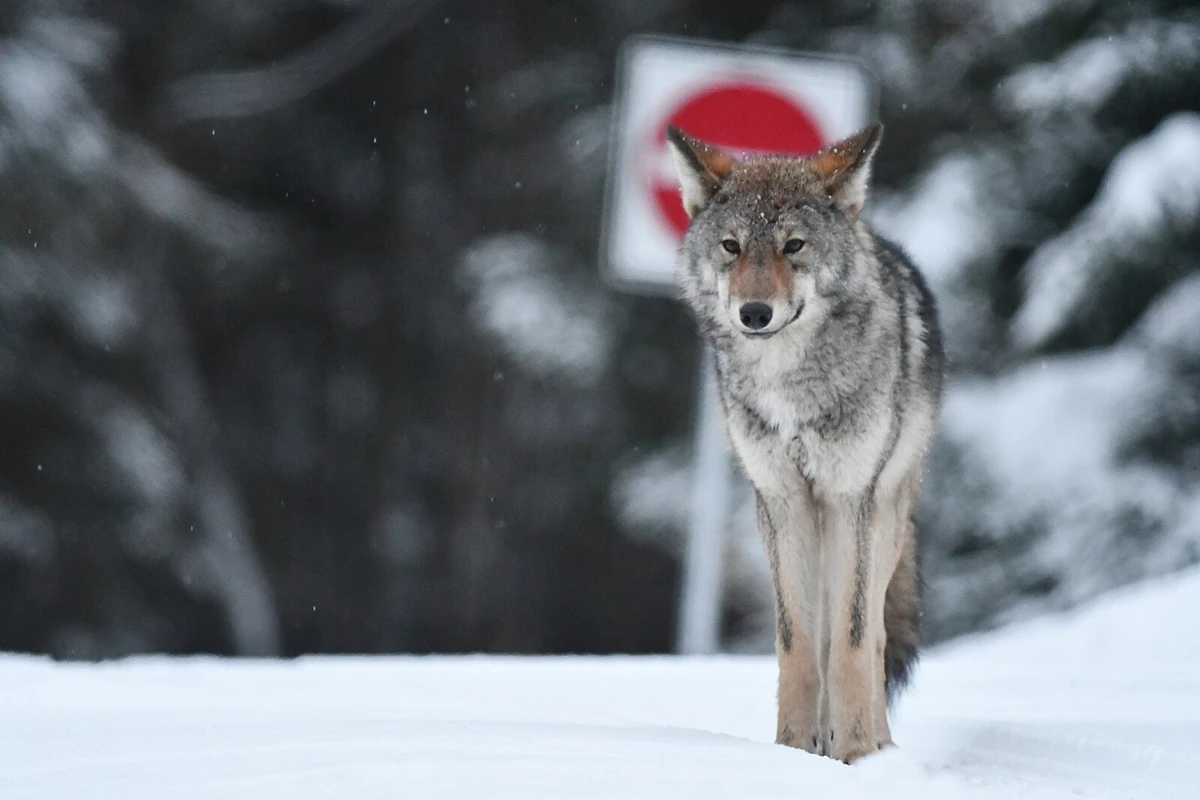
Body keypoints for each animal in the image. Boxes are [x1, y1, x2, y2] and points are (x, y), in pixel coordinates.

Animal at [667, 122, 945, 763]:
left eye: (793, 245)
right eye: (731, 246)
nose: (754, 313)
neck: (789, 384)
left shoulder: (849, 497)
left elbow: (852, 643)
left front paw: (858, 755)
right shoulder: (781, 501)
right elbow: (796, 645)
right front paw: (792, 752)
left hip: (883, 516)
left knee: (873, 636)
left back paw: (879, 745)